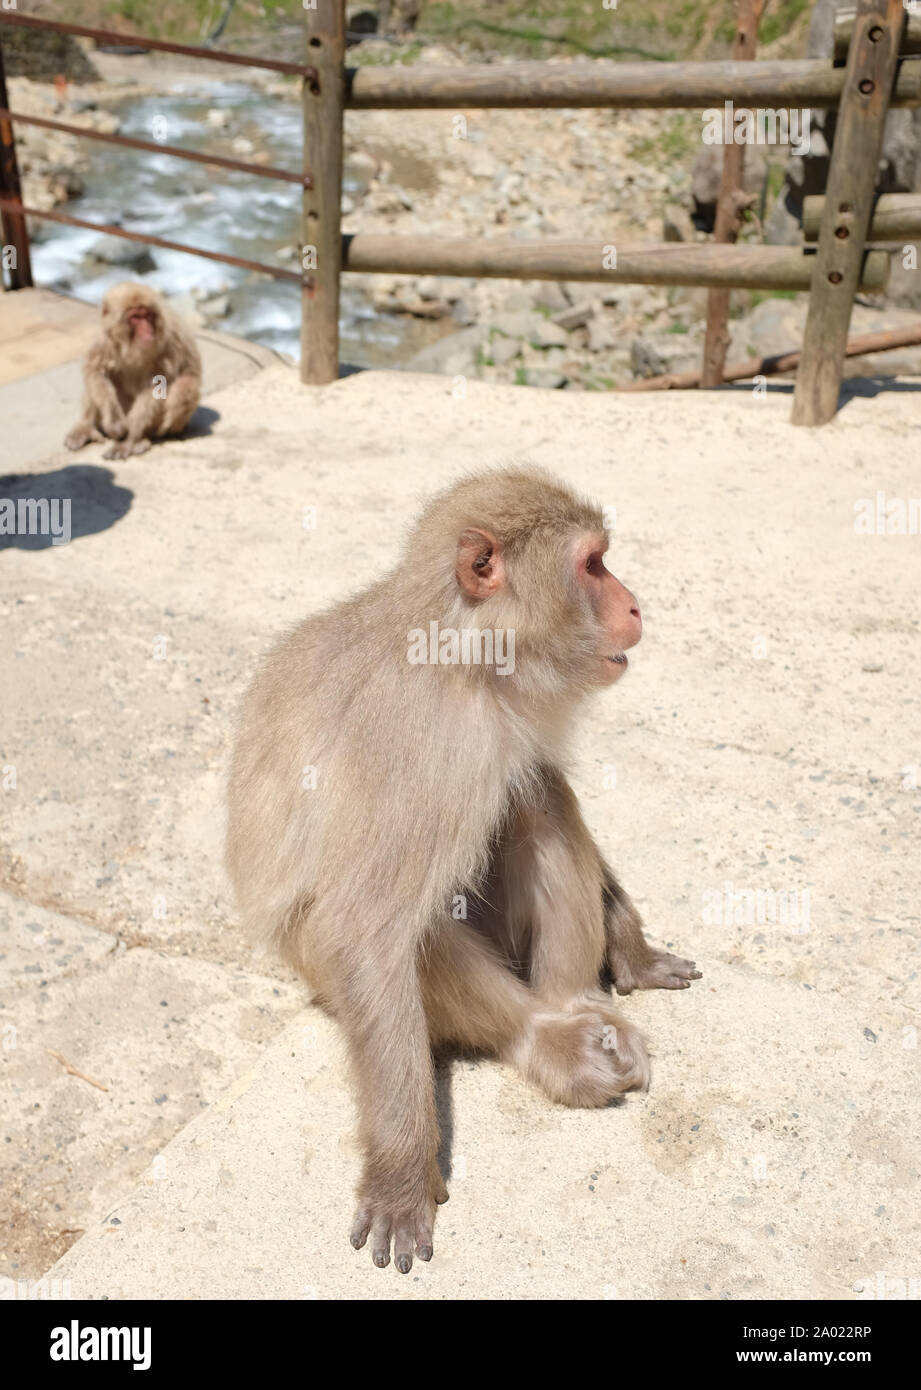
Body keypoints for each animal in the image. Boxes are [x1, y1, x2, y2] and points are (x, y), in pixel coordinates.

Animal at [64, 283, 201, 461]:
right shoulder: (105, 335)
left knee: (186, 385)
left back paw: (141, 440)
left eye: (148, 315)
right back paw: (86, 428)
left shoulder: (168, 340)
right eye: (136, 317)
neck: (132, 345)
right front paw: (114, 424)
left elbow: (157, 386)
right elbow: (95, 370)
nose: (148, 330)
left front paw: (130, 439)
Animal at [225, 466, 701, 1273]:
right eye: (593, 566)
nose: (636, 604)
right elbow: (362, 930)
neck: (467, 659)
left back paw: (579, 1005)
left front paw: (633, 949)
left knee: (533, 792)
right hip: (319, 970)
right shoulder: (417, 739)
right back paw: (546, 1036)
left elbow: (533, 773)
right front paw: (400, 1174)